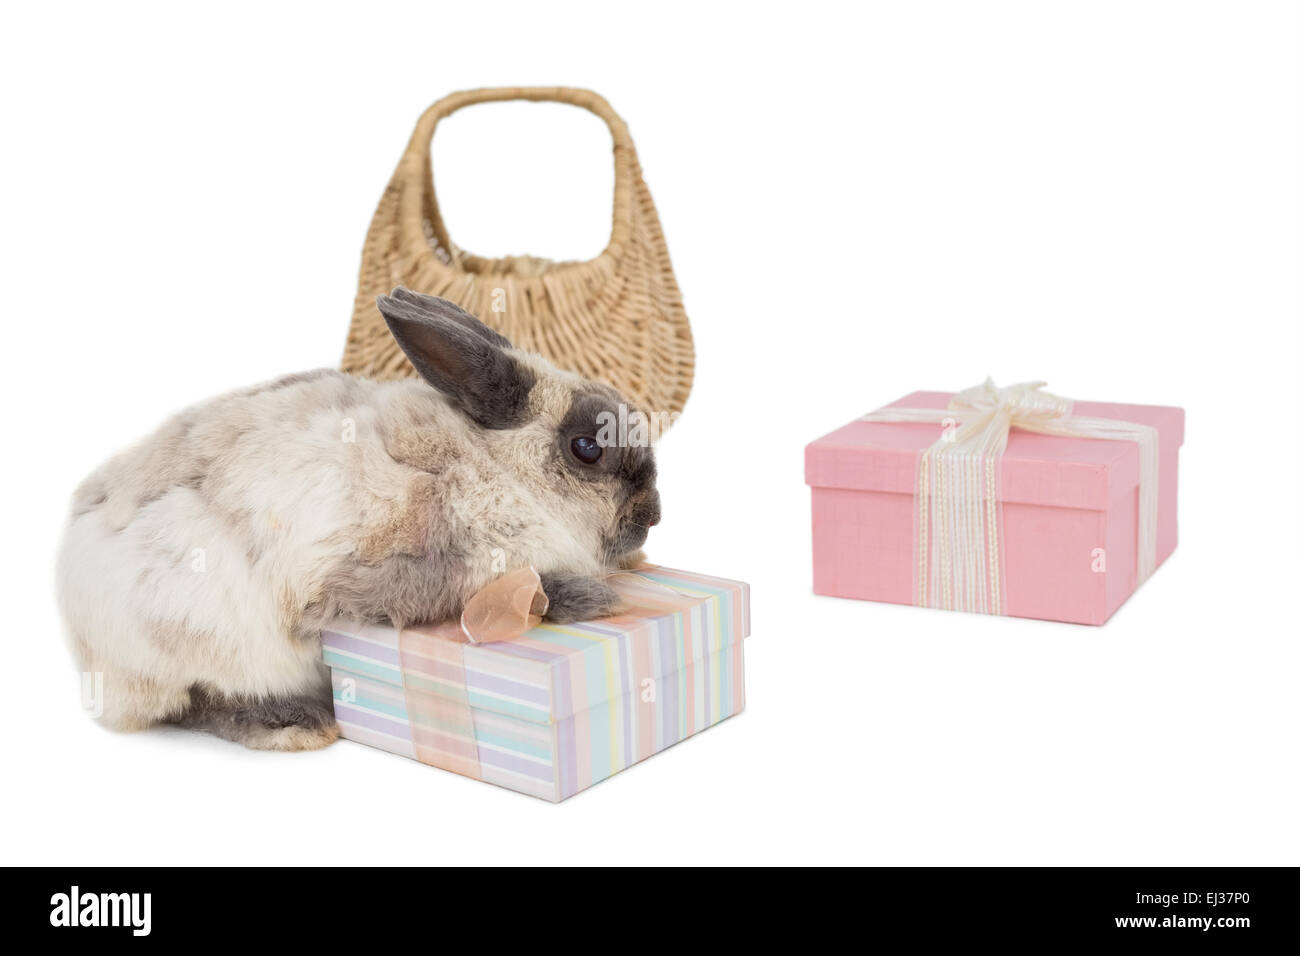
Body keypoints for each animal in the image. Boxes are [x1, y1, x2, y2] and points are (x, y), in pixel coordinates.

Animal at [56, 288, 661, 751]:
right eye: (587, 447)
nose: (653, 516)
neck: (492, 466)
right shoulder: (397, 573)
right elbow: (494, 592)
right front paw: (595, 599)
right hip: (197, 629)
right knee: (193, 702)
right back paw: (293, 725)